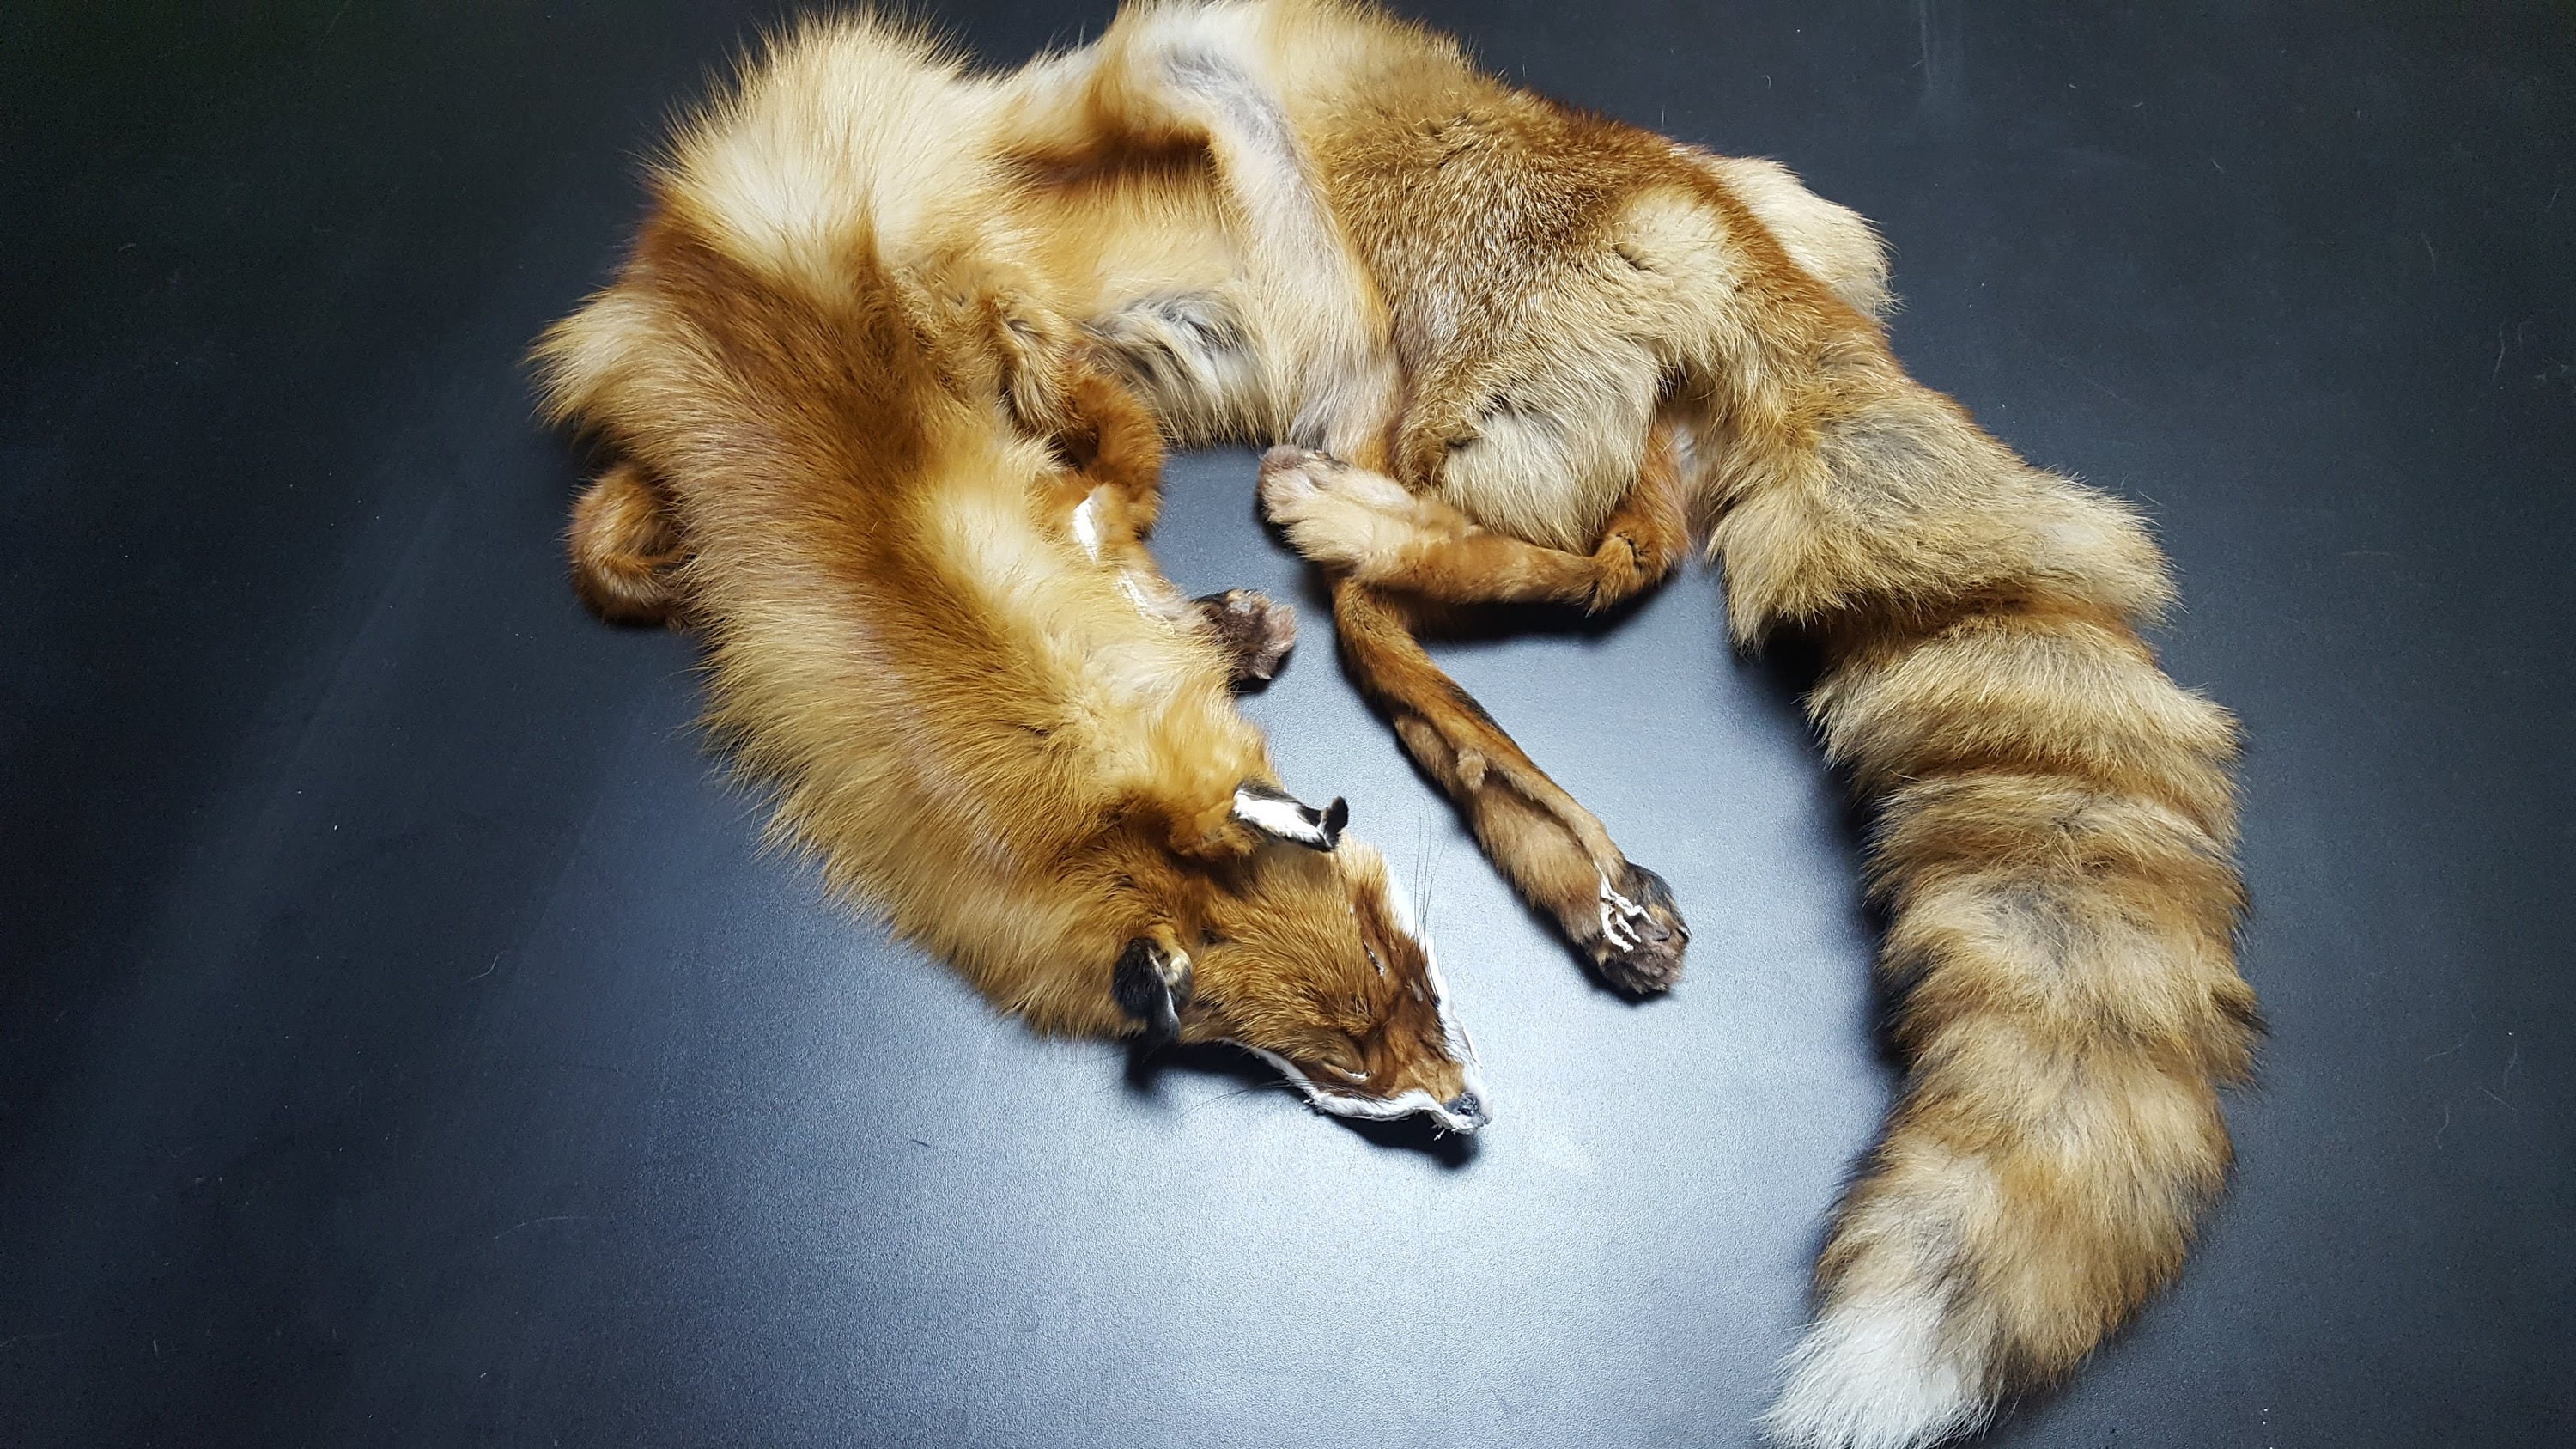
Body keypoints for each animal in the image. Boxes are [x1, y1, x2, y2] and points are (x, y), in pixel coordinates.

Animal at [532, 17, 1488, 1136]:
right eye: (1341, 1064)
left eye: (1388, 961)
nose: (1471, 1115)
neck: (1064, 786)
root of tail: (667, 251)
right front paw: (1231, 627)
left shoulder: (1082, 525)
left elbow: (1119, 487)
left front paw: (1226, 621)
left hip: (949, 266)